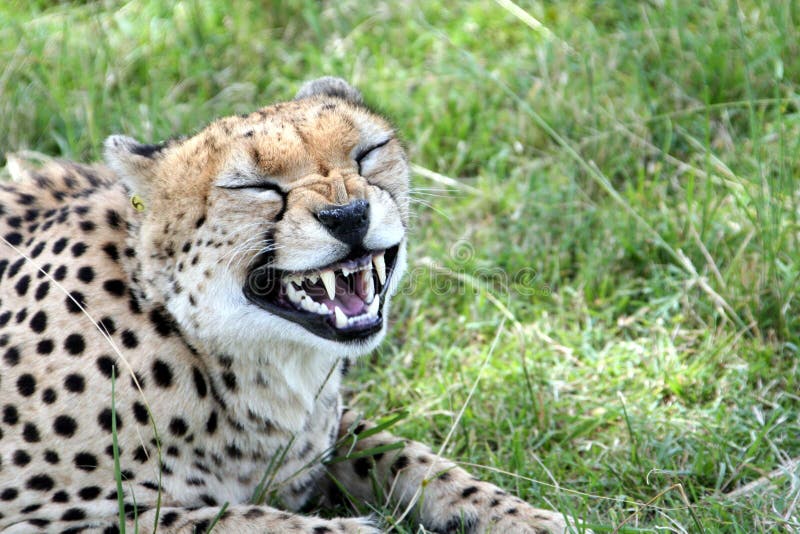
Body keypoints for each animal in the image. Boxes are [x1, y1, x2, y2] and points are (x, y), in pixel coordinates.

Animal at [0, 77, 575, 533]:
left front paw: (517, 516)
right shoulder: (49, 518)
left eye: (367, 152)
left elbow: (407, 457)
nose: (348, 214)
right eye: (253, 186)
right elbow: (236, 520)